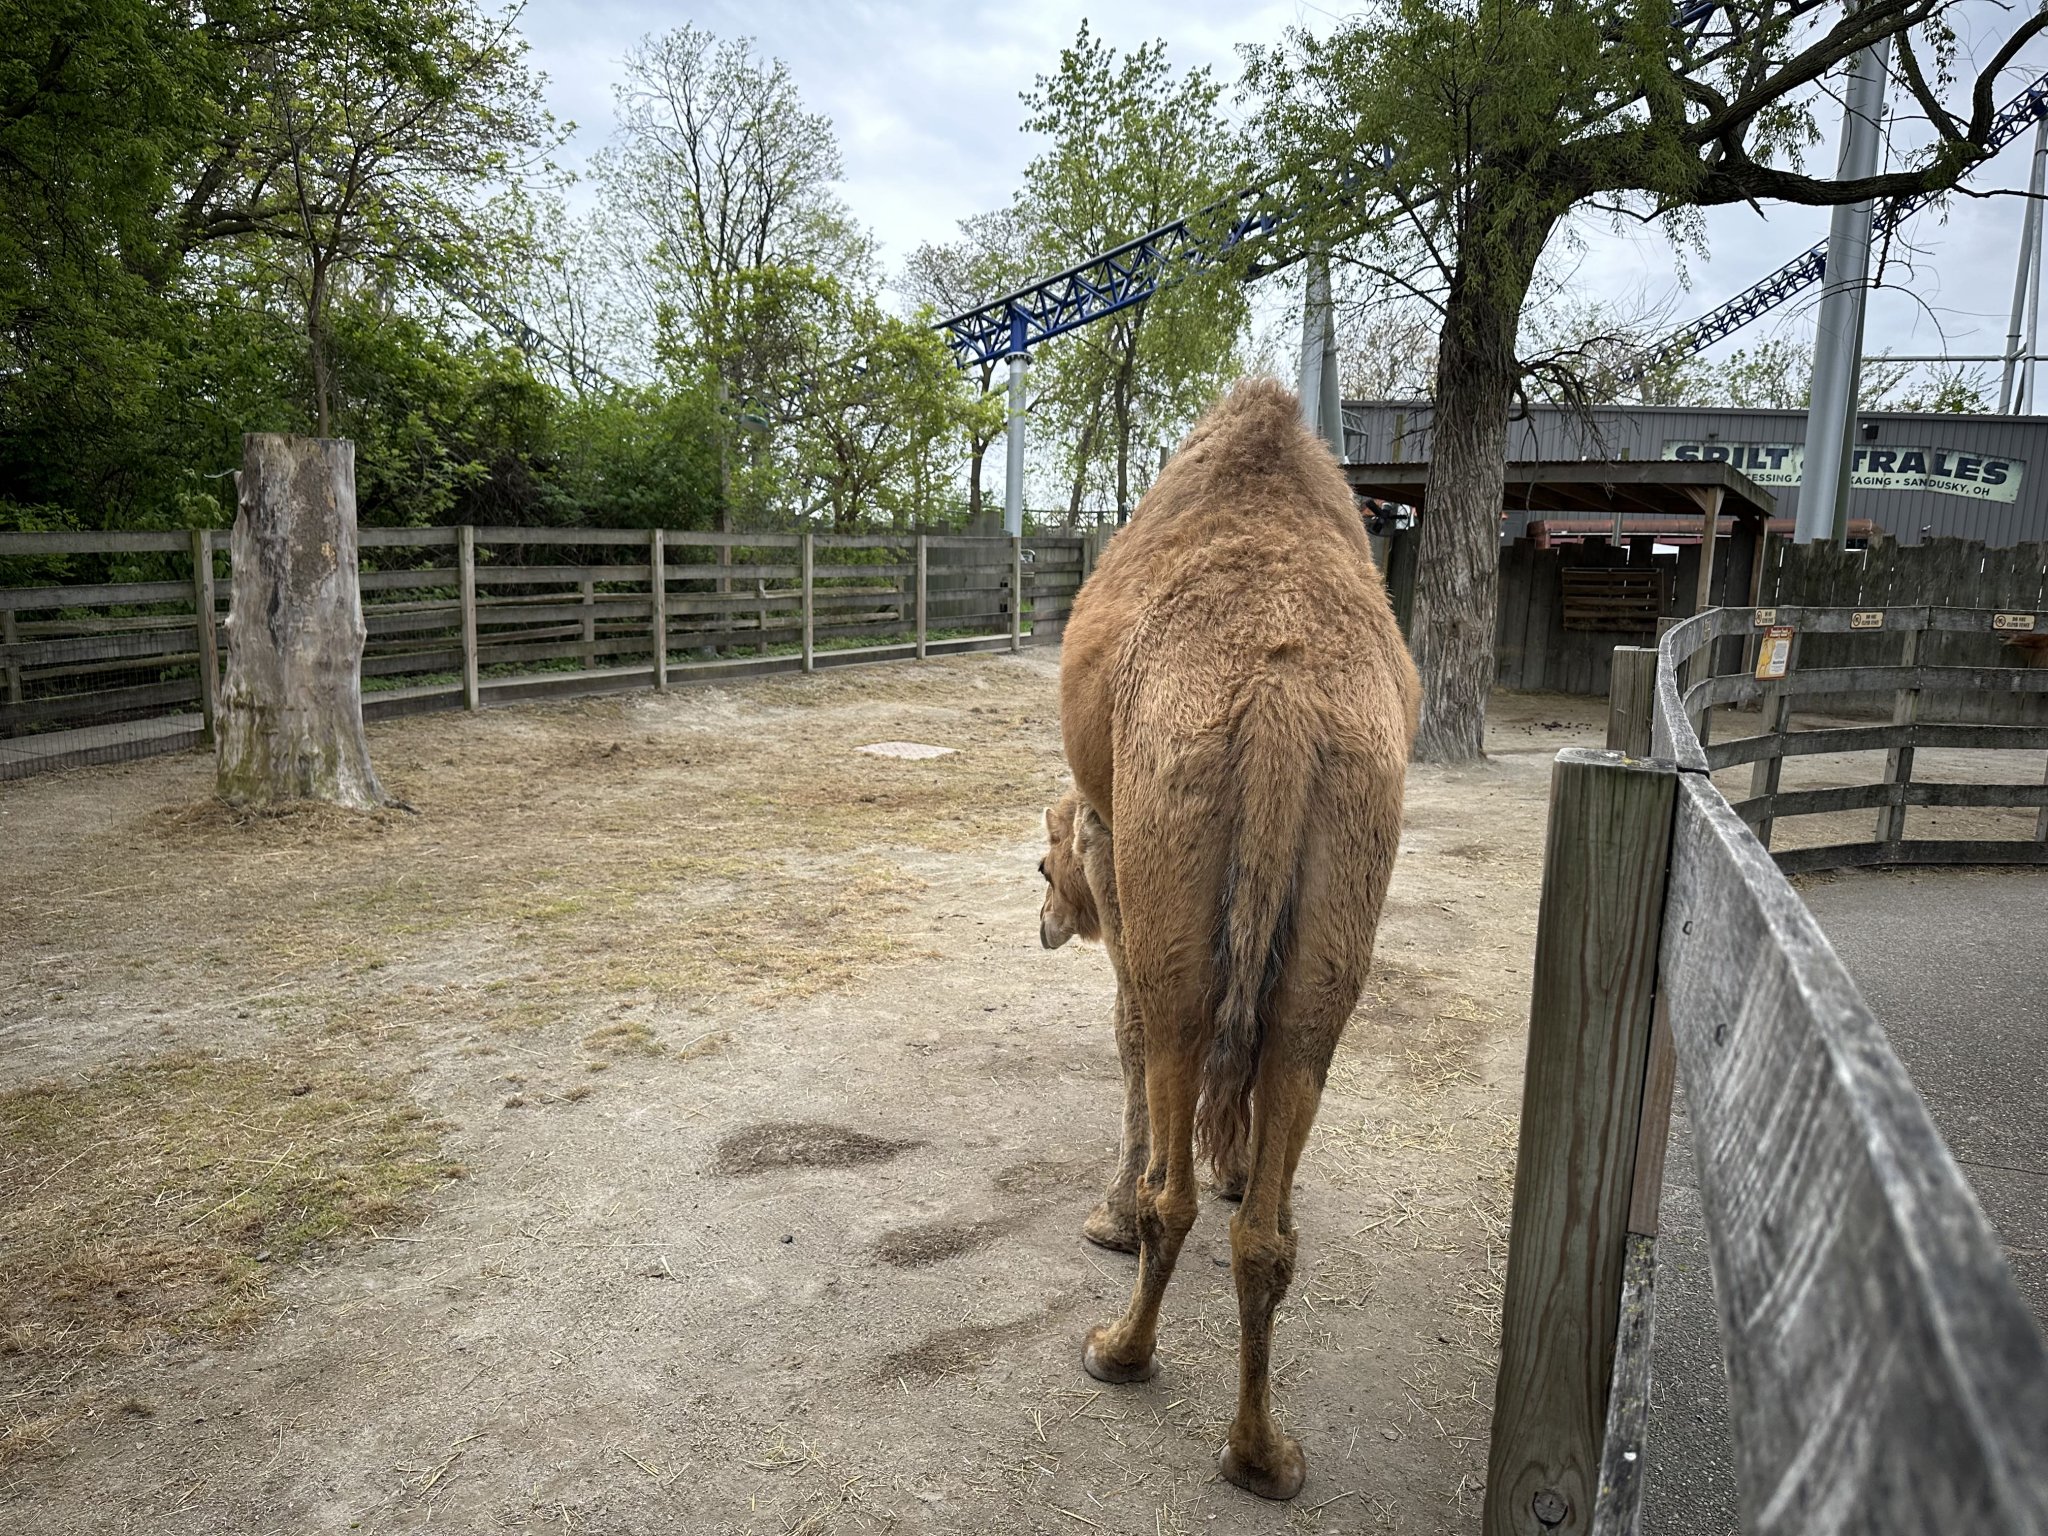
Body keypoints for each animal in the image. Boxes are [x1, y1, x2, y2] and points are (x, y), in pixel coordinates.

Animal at [1038, 378, 1418, 1501]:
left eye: (1041, 869)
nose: (1043, 925)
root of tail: (1283, 702)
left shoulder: (1106, 829)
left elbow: (1122, 1030)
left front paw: (1106, 1219)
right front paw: (1241, 1165)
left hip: (1168, 835)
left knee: (1165, 1056)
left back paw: (1119, 1350)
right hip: (1346, 868)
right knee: (1278, 1132)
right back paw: (1262, 1454)